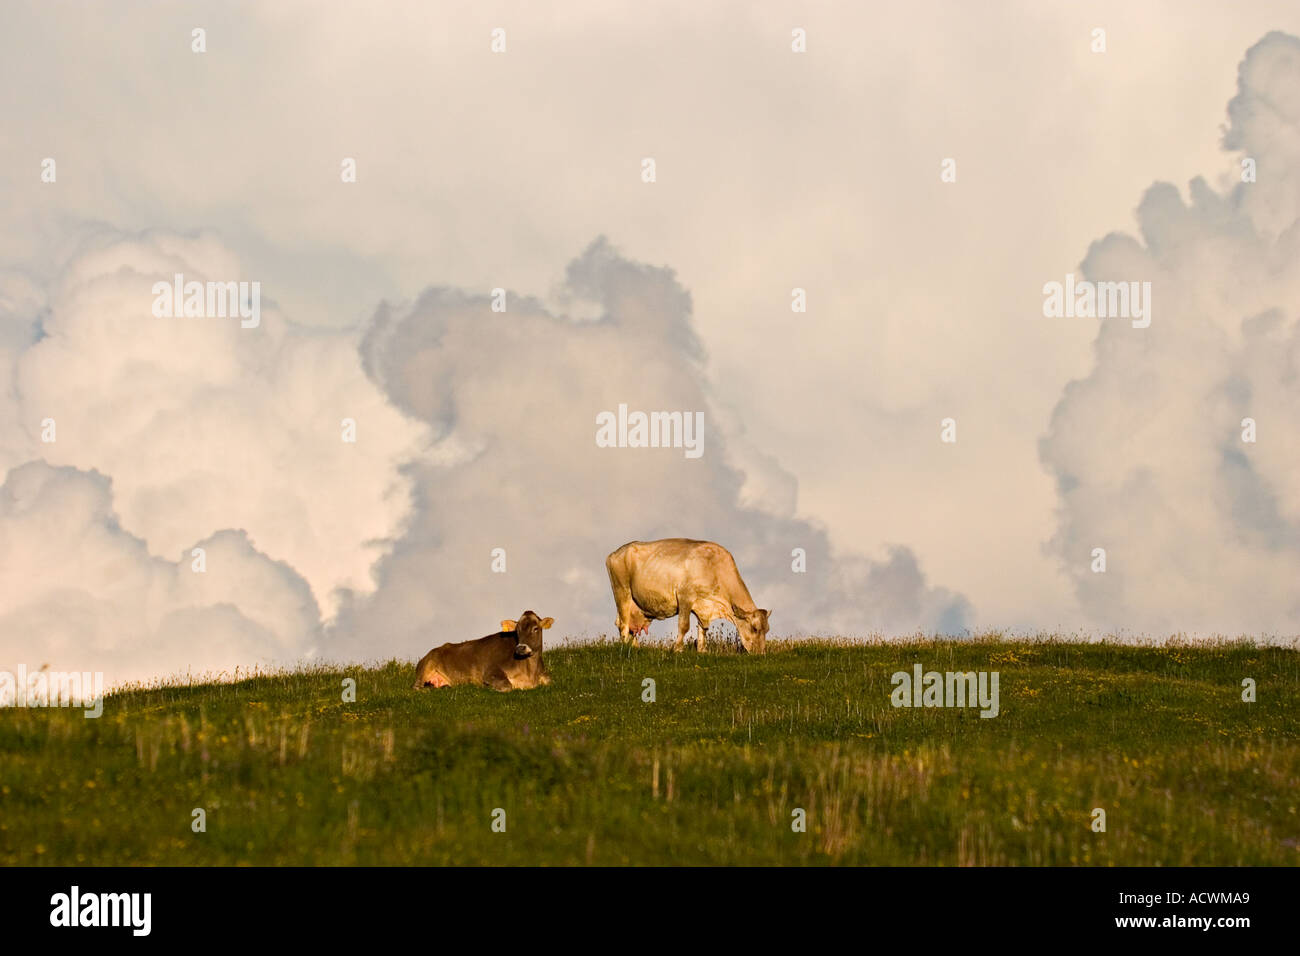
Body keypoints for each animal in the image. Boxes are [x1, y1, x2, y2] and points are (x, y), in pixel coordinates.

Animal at [413, 610, 554, 691]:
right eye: (517, 630)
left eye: (536, 628)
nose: (520, 648)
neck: (530, 672)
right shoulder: (491, 671)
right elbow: (507, 686)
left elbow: (549, 681)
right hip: (426, 666)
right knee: (416, 688)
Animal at [606, 539, 771, 653]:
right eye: (755, 628)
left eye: (767, 630)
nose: (761, 654)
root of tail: (616, 553)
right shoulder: (685, 597)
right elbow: (684, 626)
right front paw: (678, 649)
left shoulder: (702, 604)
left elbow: (703, 628)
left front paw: (702, 650)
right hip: (622, 591)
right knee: (623, 624)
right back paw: (627, 647)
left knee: (624, 624)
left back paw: (636, 646)